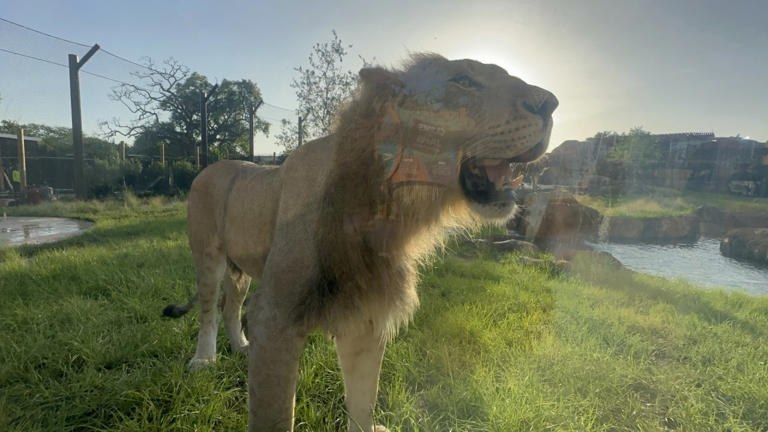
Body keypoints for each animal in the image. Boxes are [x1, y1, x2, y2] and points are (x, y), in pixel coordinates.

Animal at [164, 54, 558, 432]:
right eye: (463, 81)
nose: (551, 103)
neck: (390, 210)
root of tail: (209, 166)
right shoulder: (275, 318)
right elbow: (275, 417)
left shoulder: (367, 313)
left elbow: (364, 398)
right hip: (208, 257)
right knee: (210, 310)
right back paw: (204, 359)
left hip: (241, 269)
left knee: (231, 306)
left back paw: (242, 347)